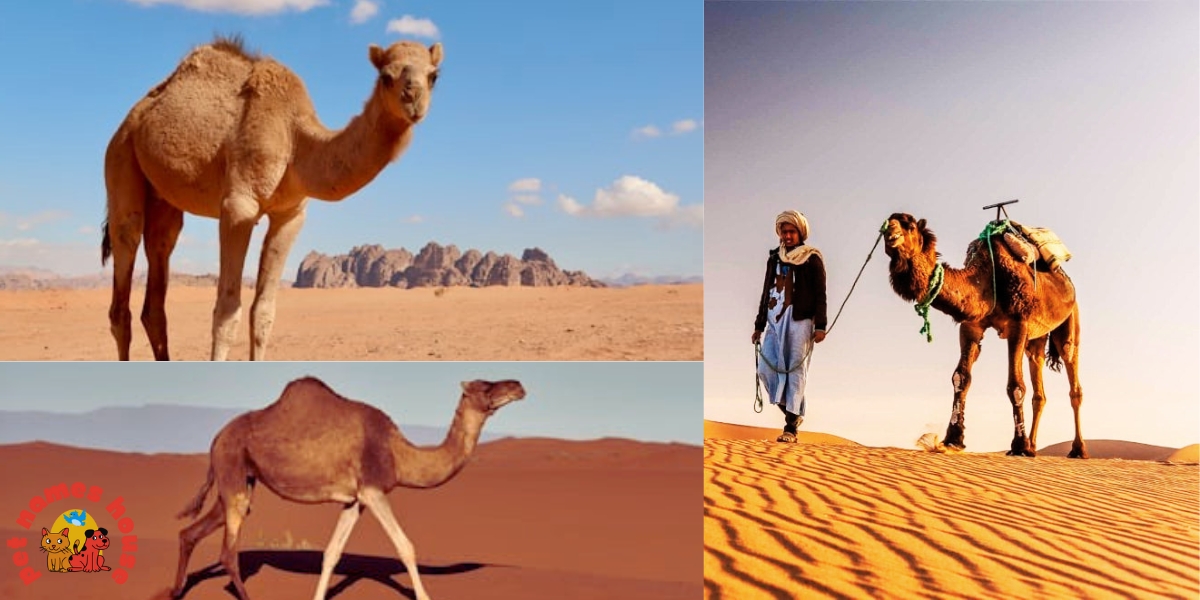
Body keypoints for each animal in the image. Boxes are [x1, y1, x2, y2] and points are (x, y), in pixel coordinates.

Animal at [101, 35, 442, 360]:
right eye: (386, 76)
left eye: (433, 75)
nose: (413, 99)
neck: (295, 139)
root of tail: (132, 116)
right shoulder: (238, 206)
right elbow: (227, 312)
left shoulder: (290, 214)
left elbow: (263, 312)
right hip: (121, 155)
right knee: (125, 262)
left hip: (164, 199)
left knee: (159, 261)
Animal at [171, 376, 525, 600]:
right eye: (486, 385)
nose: (518, 386)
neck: (397, 453)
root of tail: (217, 438)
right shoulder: (373, 490)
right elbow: (406, 547)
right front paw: (425, 596)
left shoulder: (355, 500)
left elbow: (331, 554)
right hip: (232, 470)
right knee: (228, 552)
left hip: (237, 479)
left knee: (190, 533)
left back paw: (175, 591)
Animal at [882, 213, 1087, 458]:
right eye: (886, 224)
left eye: (910, 226)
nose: (891, 234)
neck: (987, 277)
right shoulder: (971, 325)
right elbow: (961, 377)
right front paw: (953, 440)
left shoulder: (1018, 323)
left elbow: (1015, 386)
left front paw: (1018, 445)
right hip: (1037, 338)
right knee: (1039, 386)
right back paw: (1033, 446)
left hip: (1070, 319)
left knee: (1072, 374)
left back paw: (1077, 449)